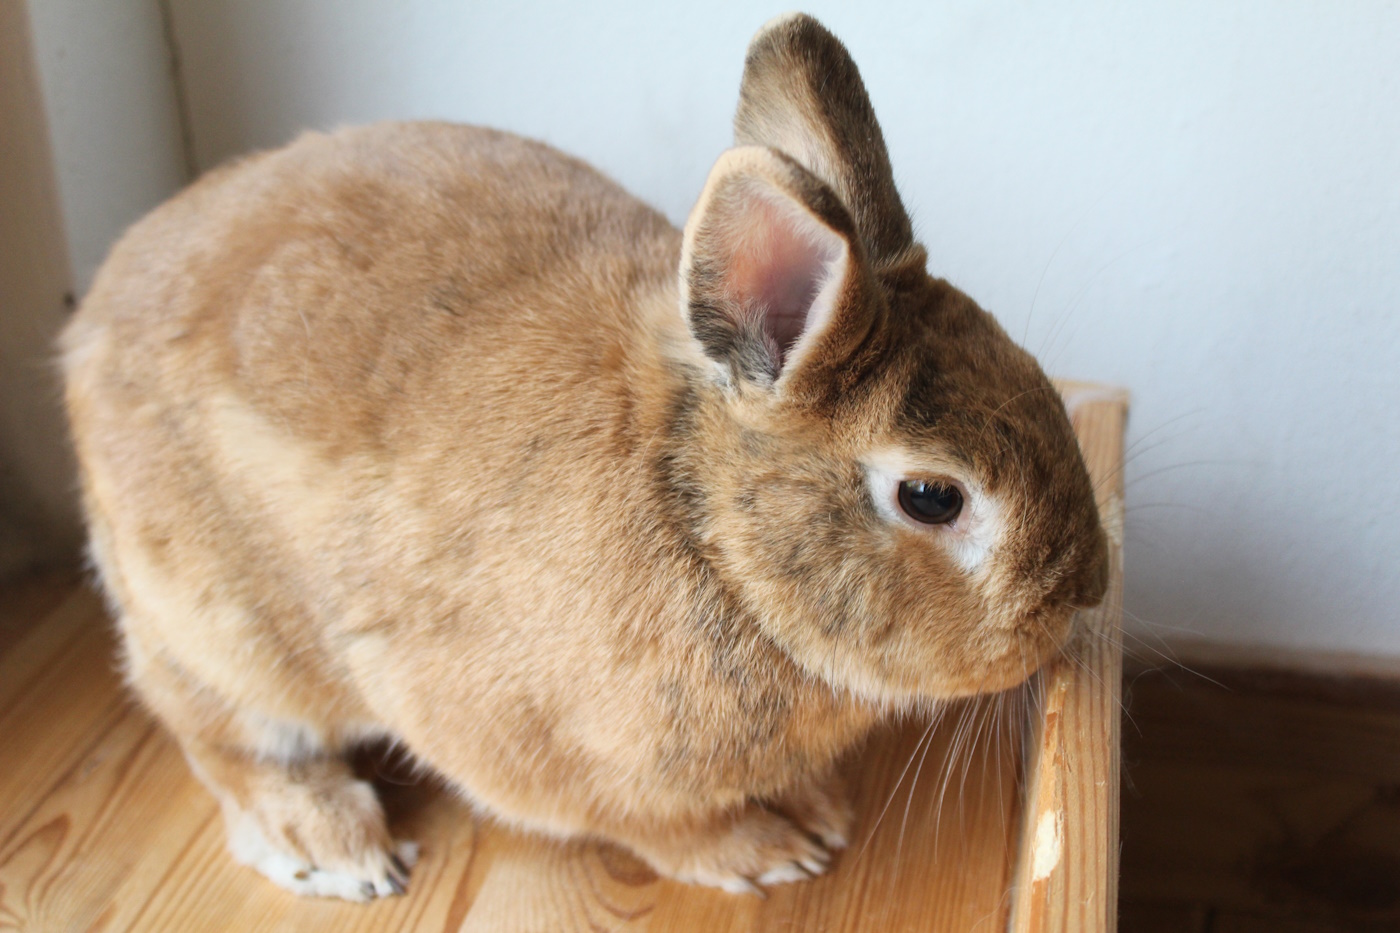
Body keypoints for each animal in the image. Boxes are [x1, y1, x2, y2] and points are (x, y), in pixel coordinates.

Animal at [60, 12, 1108, 900]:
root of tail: (91, 318)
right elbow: (641, 823)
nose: (1088, 589)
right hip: (218, 630)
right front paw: (766, 848)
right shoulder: (512, 732)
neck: (704, 524)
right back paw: (332, 844)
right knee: (217, 731)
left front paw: (811, 811)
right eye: (933, 496)